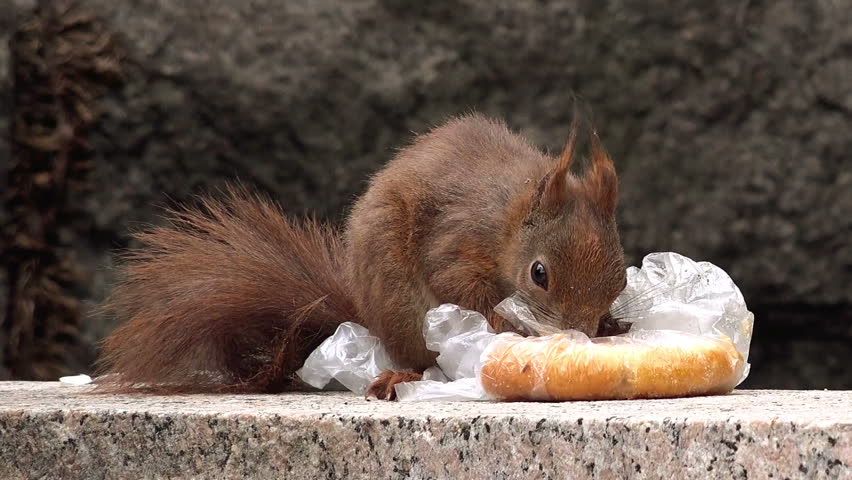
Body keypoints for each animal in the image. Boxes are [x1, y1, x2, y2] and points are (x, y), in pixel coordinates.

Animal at [94, 112, 628, 400]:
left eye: (620, 281)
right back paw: (404, 375)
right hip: (399, 305)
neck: (509, 219)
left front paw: (612, 324)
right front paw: (504, 324)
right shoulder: (458, 240)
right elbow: (457, 285)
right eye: (539, 274)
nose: (581, 331)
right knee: (423, 359)